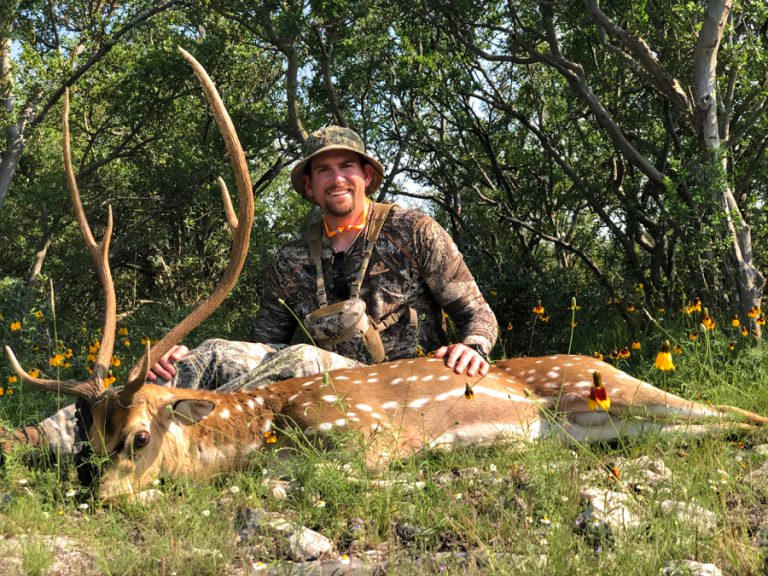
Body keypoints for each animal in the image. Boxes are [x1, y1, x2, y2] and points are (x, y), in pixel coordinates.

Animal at [4, 50, 768, 500]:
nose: (98, 500)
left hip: (608, 385)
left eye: (138, 437)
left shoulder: (366, 437)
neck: (259, 428)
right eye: (91, 443)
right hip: (601, 423)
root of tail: (602, 361)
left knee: (737, 410)